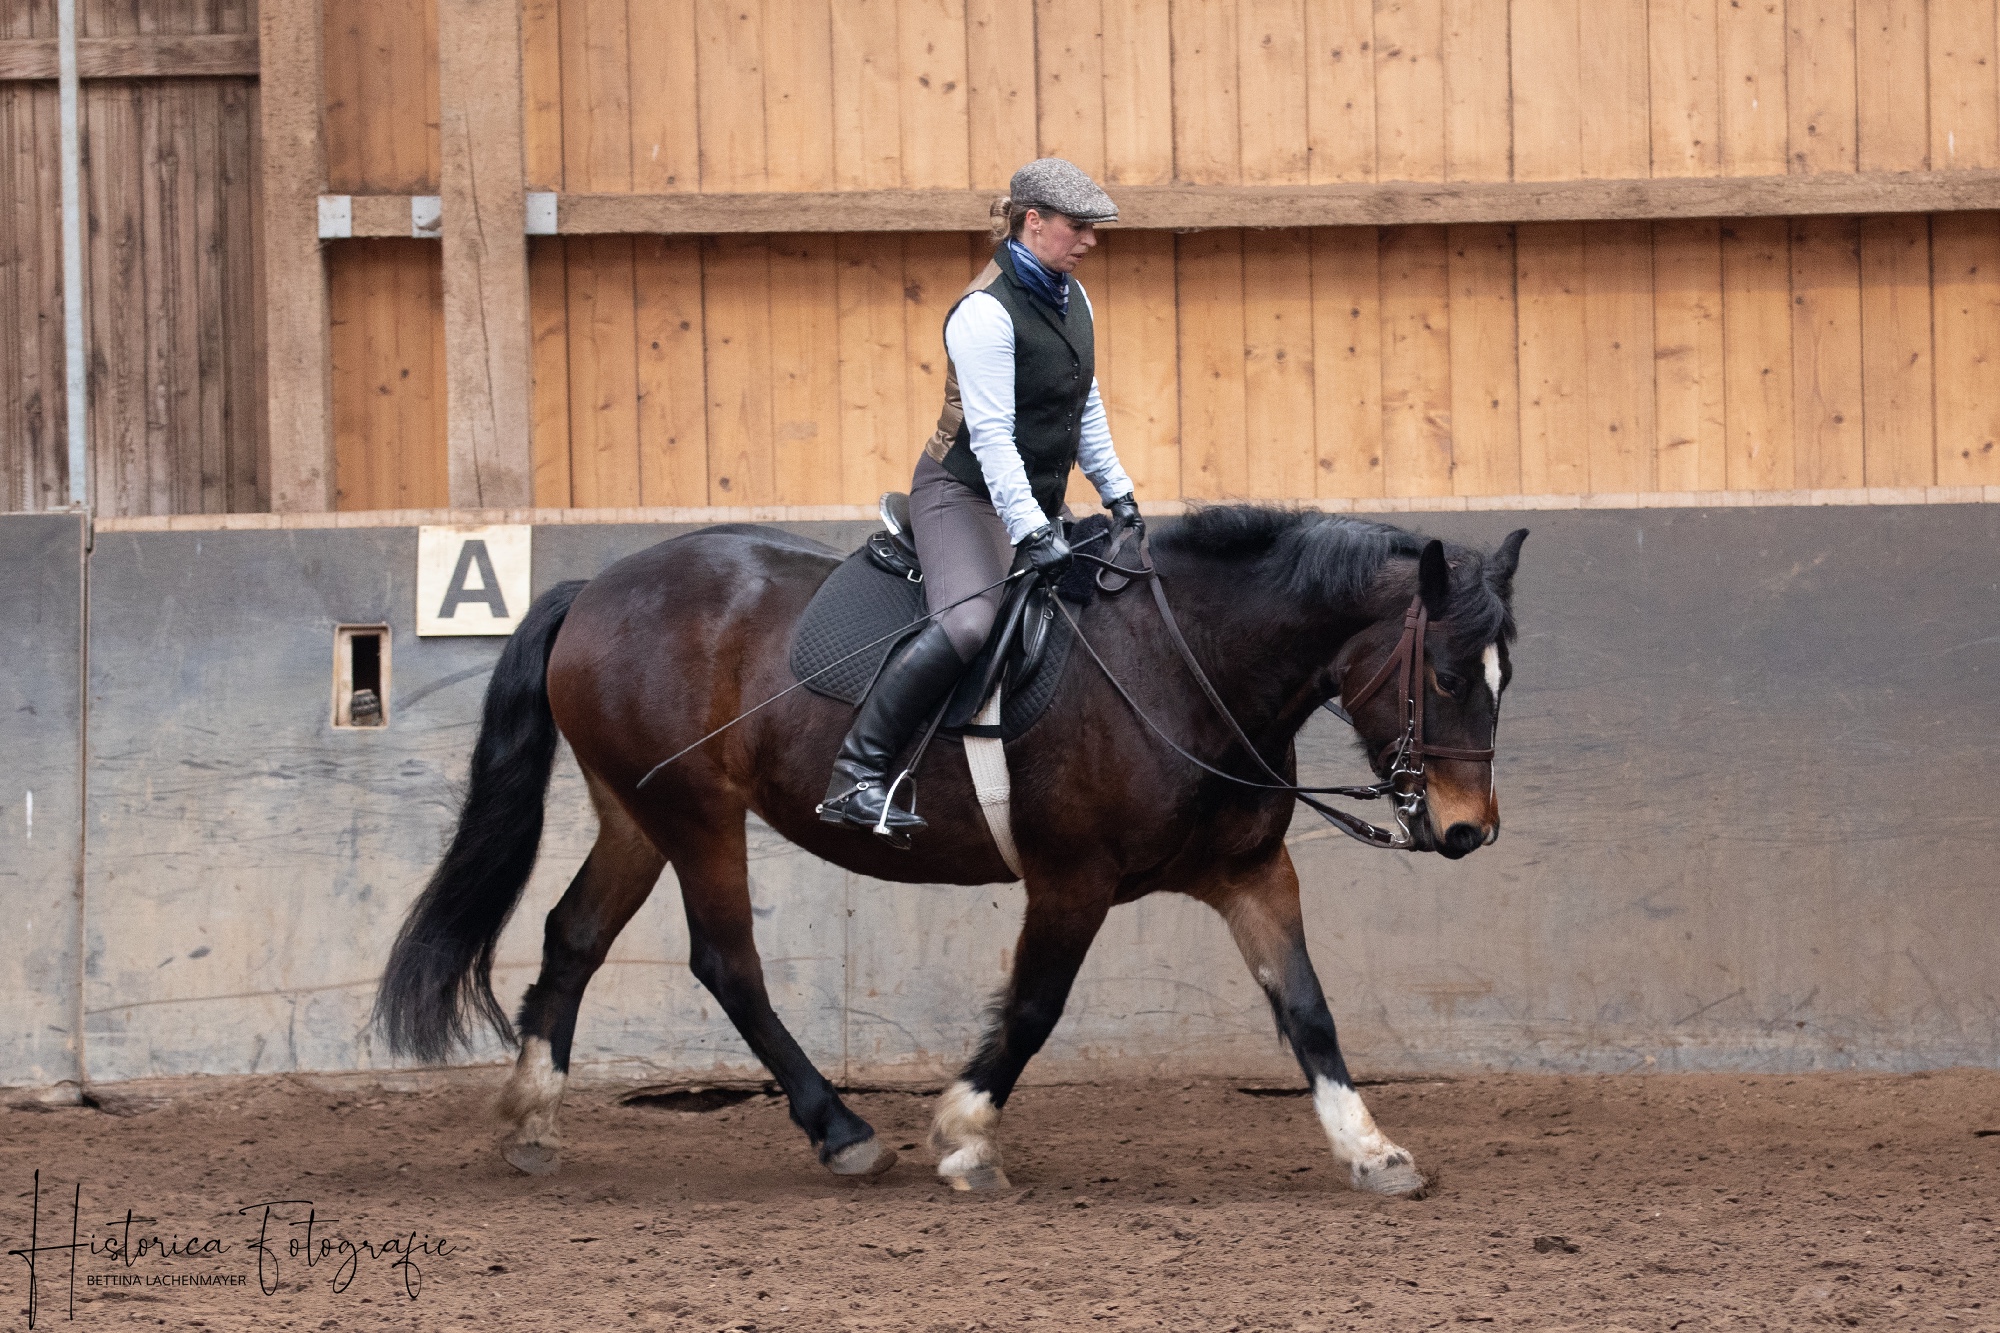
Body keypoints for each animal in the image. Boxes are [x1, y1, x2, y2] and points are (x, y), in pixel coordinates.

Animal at [376, 506, 1527, 1197]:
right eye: (1445, 677)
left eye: (1502, 676)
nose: (1467, 829)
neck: (1183, 661)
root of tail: (597, 589)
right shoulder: (1072, 880)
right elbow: (1032, 1009)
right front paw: (965, 1134)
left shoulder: (1249, 874)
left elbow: (1306, 1009)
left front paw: (1370, 1149)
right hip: (698, 816)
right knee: (725, 962)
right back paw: (839, 1129)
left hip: (636, 814)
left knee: (573, 936)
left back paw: (532, 1117)